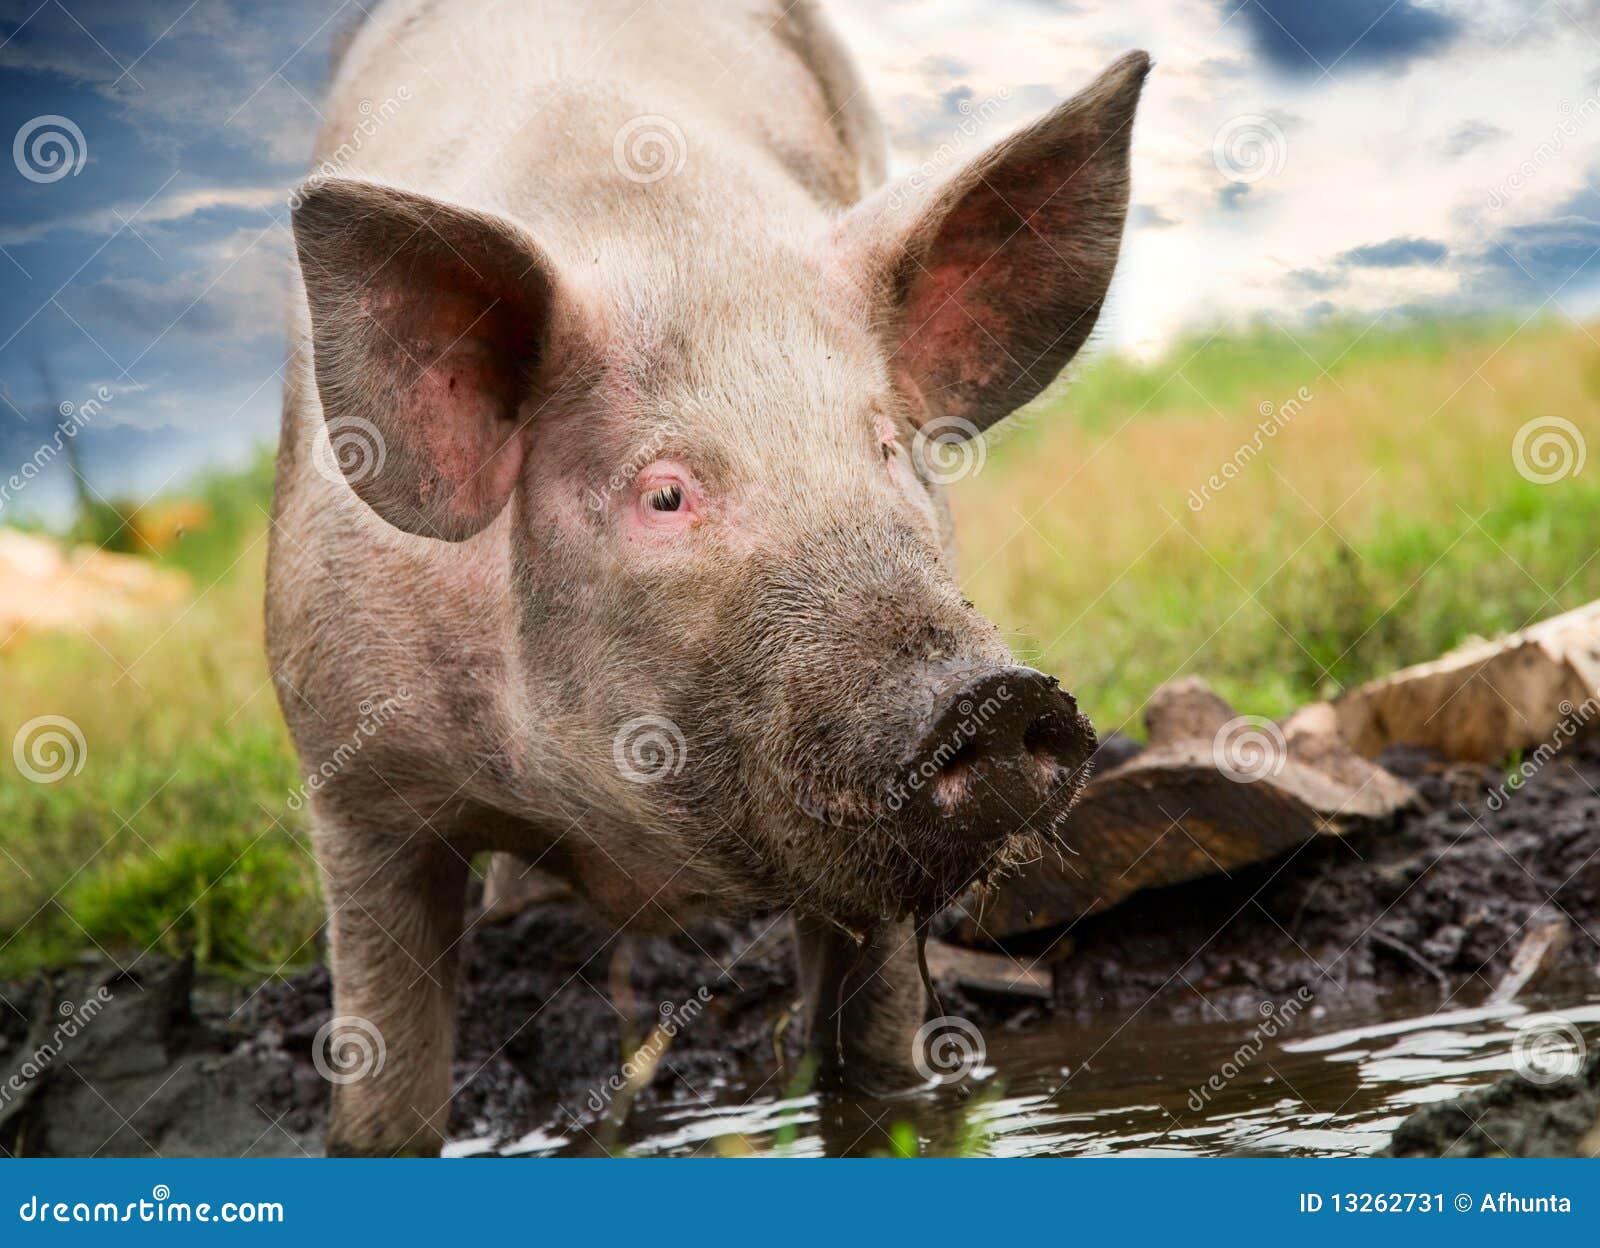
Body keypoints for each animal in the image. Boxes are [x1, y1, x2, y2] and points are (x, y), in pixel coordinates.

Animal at [268, 0, 1148, 1155]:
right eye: (666, 494)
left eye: (884, 448)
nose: (993, 698)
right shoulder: (354, 781)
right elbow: (383, 1105)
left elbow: (870, 1056)